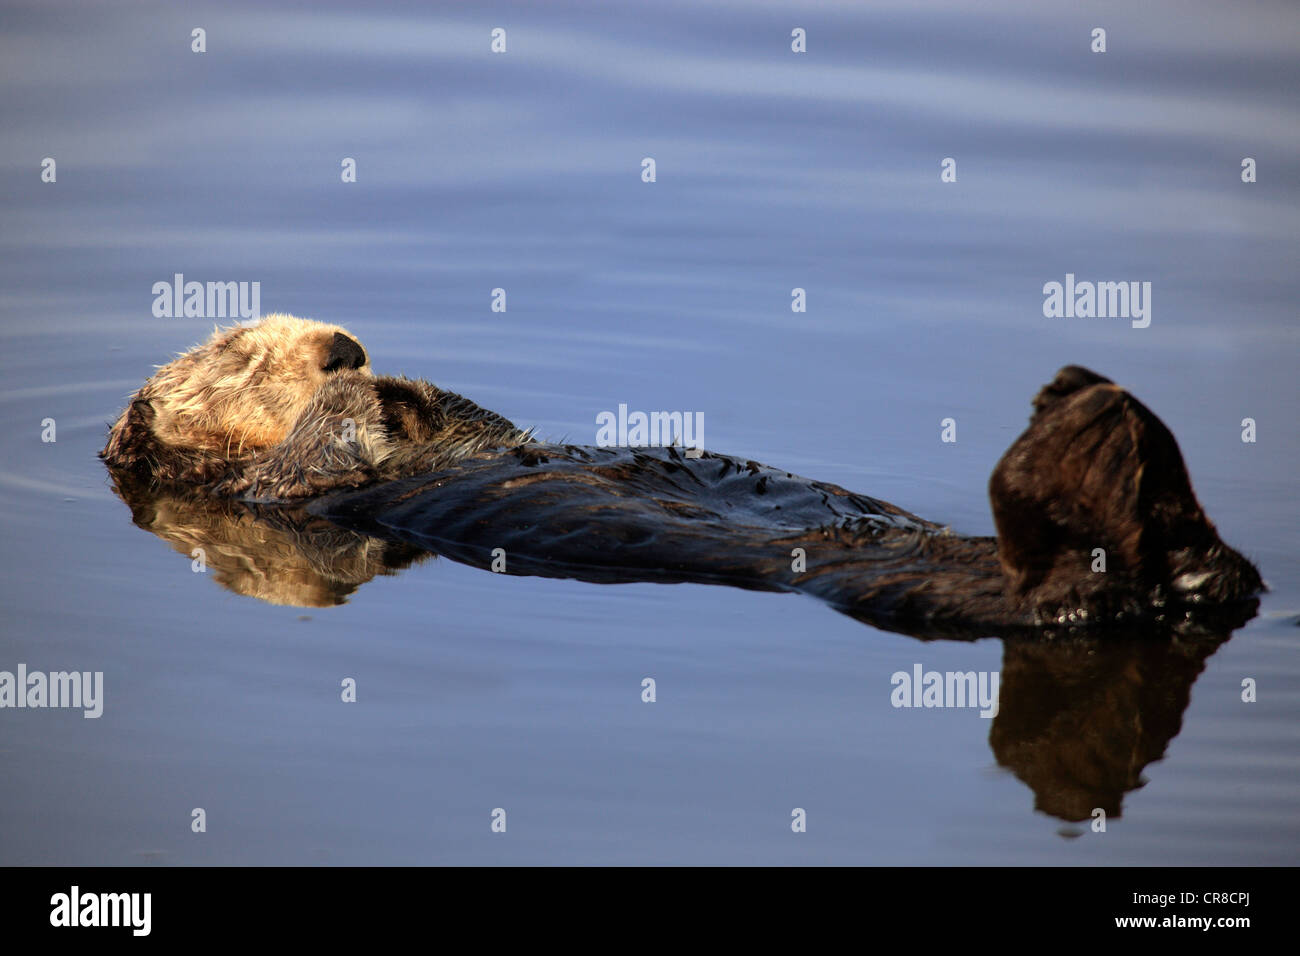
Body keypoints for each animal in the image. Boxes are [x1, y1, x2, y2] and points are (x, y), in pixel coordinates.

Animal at [102, 315, 1263, 630]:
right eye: (240, 351)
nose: (339, 344)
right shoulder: (279, 500)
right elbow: (311, 459)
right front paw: (353, 395)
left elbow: (477, 415)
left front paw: (399, 379)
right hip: (979, 594)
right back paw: (1088, 425)